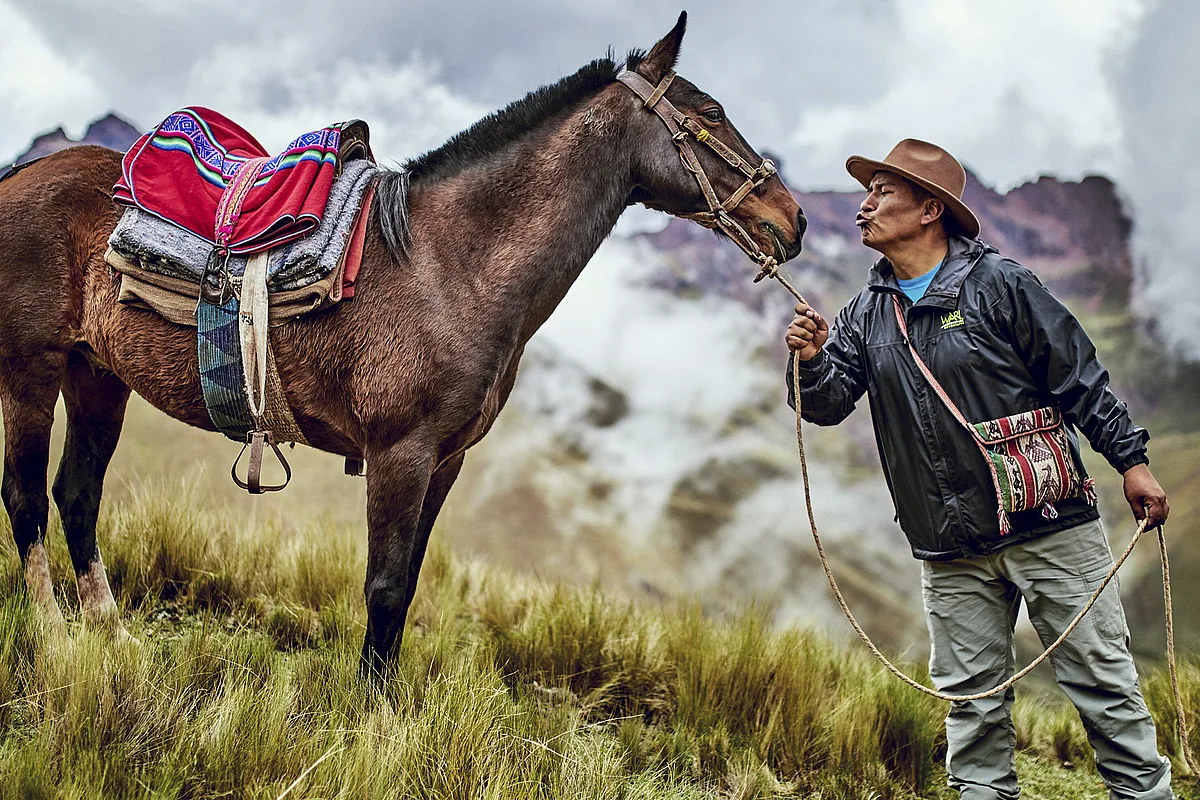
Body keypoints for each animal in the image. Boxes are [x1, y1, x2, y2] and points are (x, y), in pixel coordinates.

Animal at [0, 12, 805, 676]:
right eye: (708, 114)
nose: (790, 218)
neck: (451, 263)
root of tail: (25, 175)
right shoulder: (400, 453)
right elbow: (384, 587)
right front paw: (371, 718)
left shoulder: (445, 460)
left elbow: (410, 584)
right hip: (31, 371)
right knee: (26, 497)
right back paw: (54, 637)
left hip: (98, 375)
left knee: (77, 494)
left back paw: (109, 634)